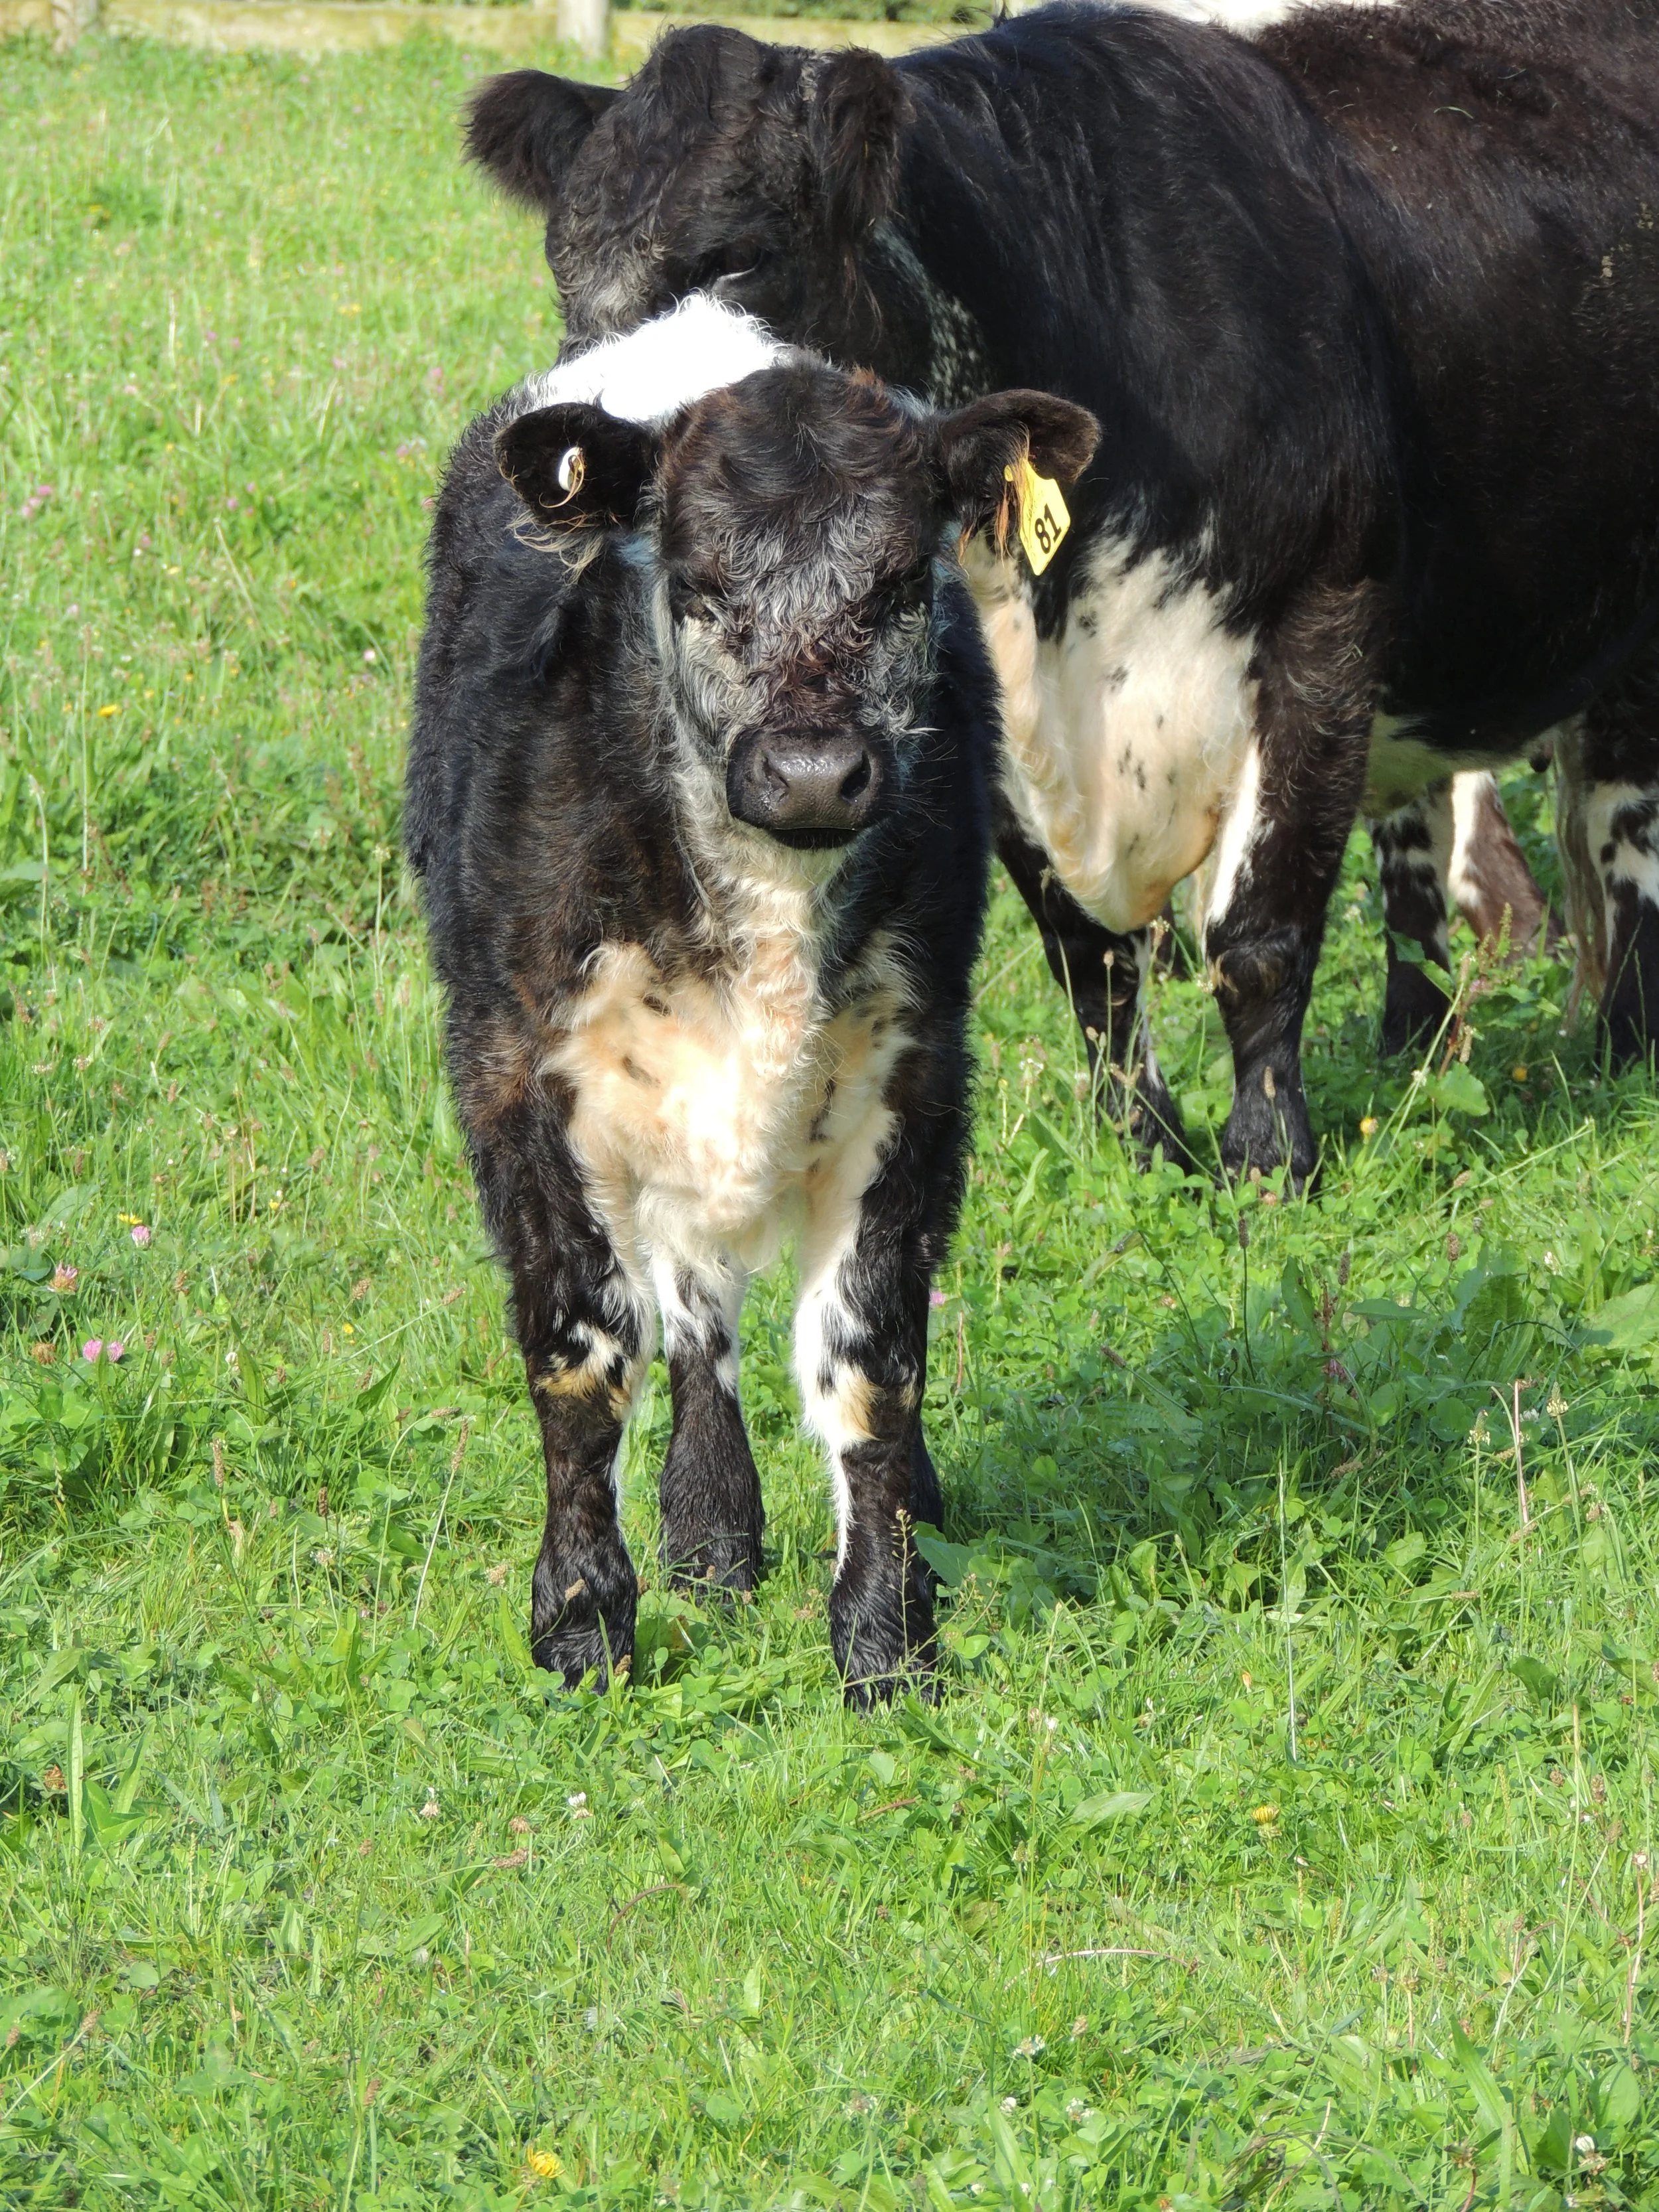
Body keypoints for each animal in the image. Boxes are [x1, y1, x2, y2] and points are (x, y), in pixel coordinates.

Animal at [405, 295, 1099, 1702]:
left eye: (901, 587)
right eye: (699, 586)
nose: (815, 771)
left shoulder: (914, 1073)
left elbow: (871, 1360)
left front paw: (888, 1636)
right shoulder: (517, 1069)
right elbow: (581, 1343)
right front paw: (583, 1623)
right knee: (684, 1300)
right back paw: (711, 1533)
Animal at [465, 0, 1659, 1189]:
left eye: (744, 259)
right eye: (566, 272)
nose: (582, 476)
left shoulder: (1325, 625)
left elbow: (1260, 928)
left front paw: (1270, 1162)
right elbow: (1087, 950)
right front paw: (1148, 1151)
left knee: (1619, 832)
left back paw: (1621, 1056)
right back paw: (1418, 1041)